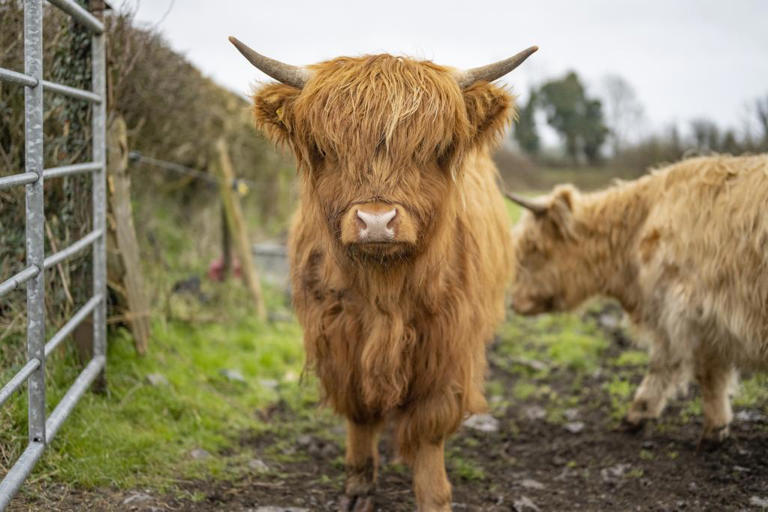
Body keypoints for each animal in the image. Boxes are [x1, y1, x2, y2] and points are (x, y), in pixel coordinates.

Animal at [229, 37, 536, 511]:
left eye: (435, 148)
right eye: (326, 149)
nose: (376, 221)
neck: (384, 291)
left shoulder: (445, 344)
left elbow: (429, 430)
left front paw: (434, 496)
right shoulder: (339, 338)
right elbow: (360, 412)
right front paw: (358, 488)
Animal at [506, 154, 768, 445]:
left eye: (533, 248)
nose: (513, 303)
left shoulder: (689, 312)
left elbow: (700, 371)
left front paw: (713, 430)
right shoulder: (680, 317)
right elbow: (668, 364)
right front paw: (638, 414)